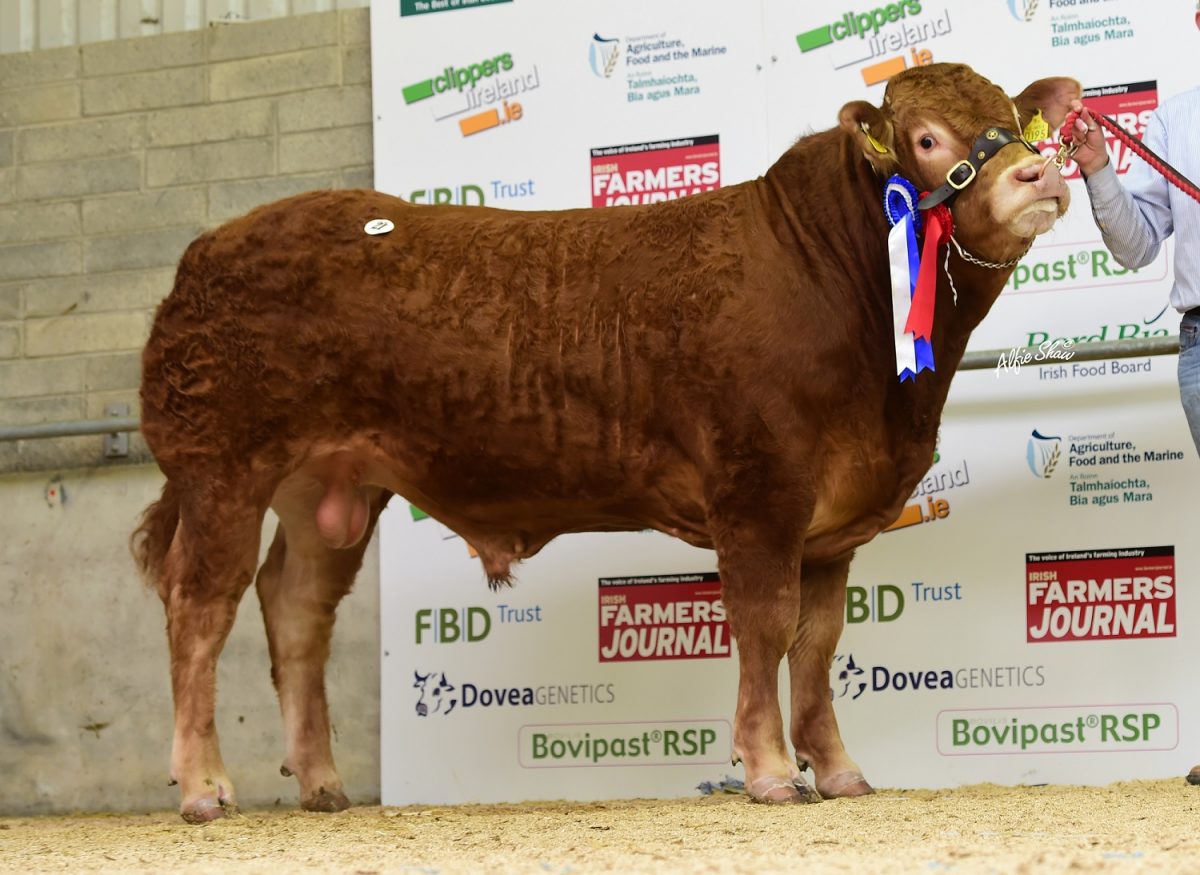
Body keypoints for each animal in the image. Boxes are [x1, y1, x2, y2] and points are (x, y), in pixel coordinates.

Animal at [132, 63, 1079, 822]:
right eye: (925, 138)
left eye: (1017, 118)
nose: (1038, 171)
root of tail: (206, 250)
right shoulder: (758, 491)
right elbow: (766, 625)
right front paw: (771, 769)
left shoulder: (832, 519)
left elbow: (817, 644)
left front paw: (840, 769)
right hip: (223, 467)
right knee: (201, 605)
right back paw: (204, 785)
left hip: (328, 484)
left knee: (296, 608)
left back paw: (321, 782)